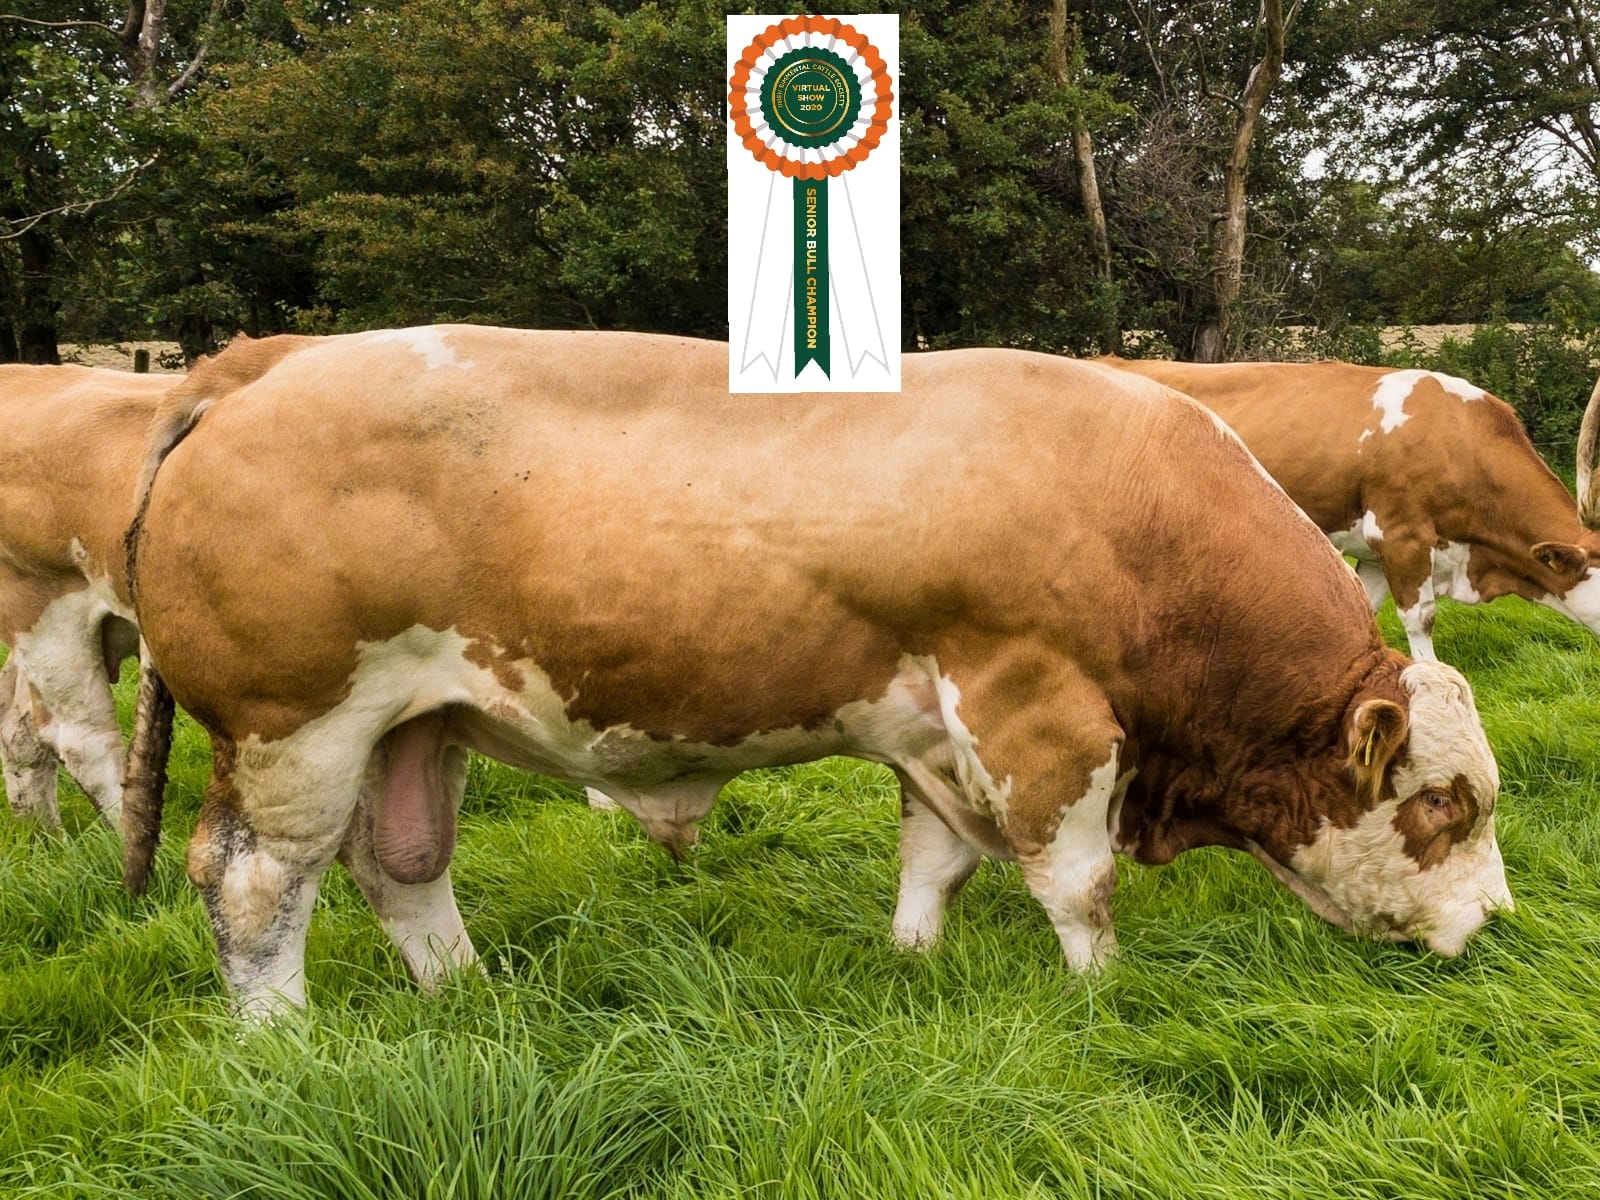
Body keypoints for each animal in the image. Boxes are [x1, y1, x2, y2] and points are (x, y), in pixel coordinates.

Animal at [123, 327, 1510, 1018]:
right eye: (1447, 804)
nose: (1499, 924)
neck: (1140, 521)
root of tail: (244, 378)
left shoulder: (931, 731)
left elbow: (933, 864)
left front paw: (913, 964)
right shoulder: (1037, 719)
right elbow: (1079, 884)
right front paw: (1103, 993)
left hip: (413, 724)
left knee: (399, 867)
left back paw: (466, 998)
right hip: (291, 727)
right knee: (254, 887)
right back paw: (282, 1038)